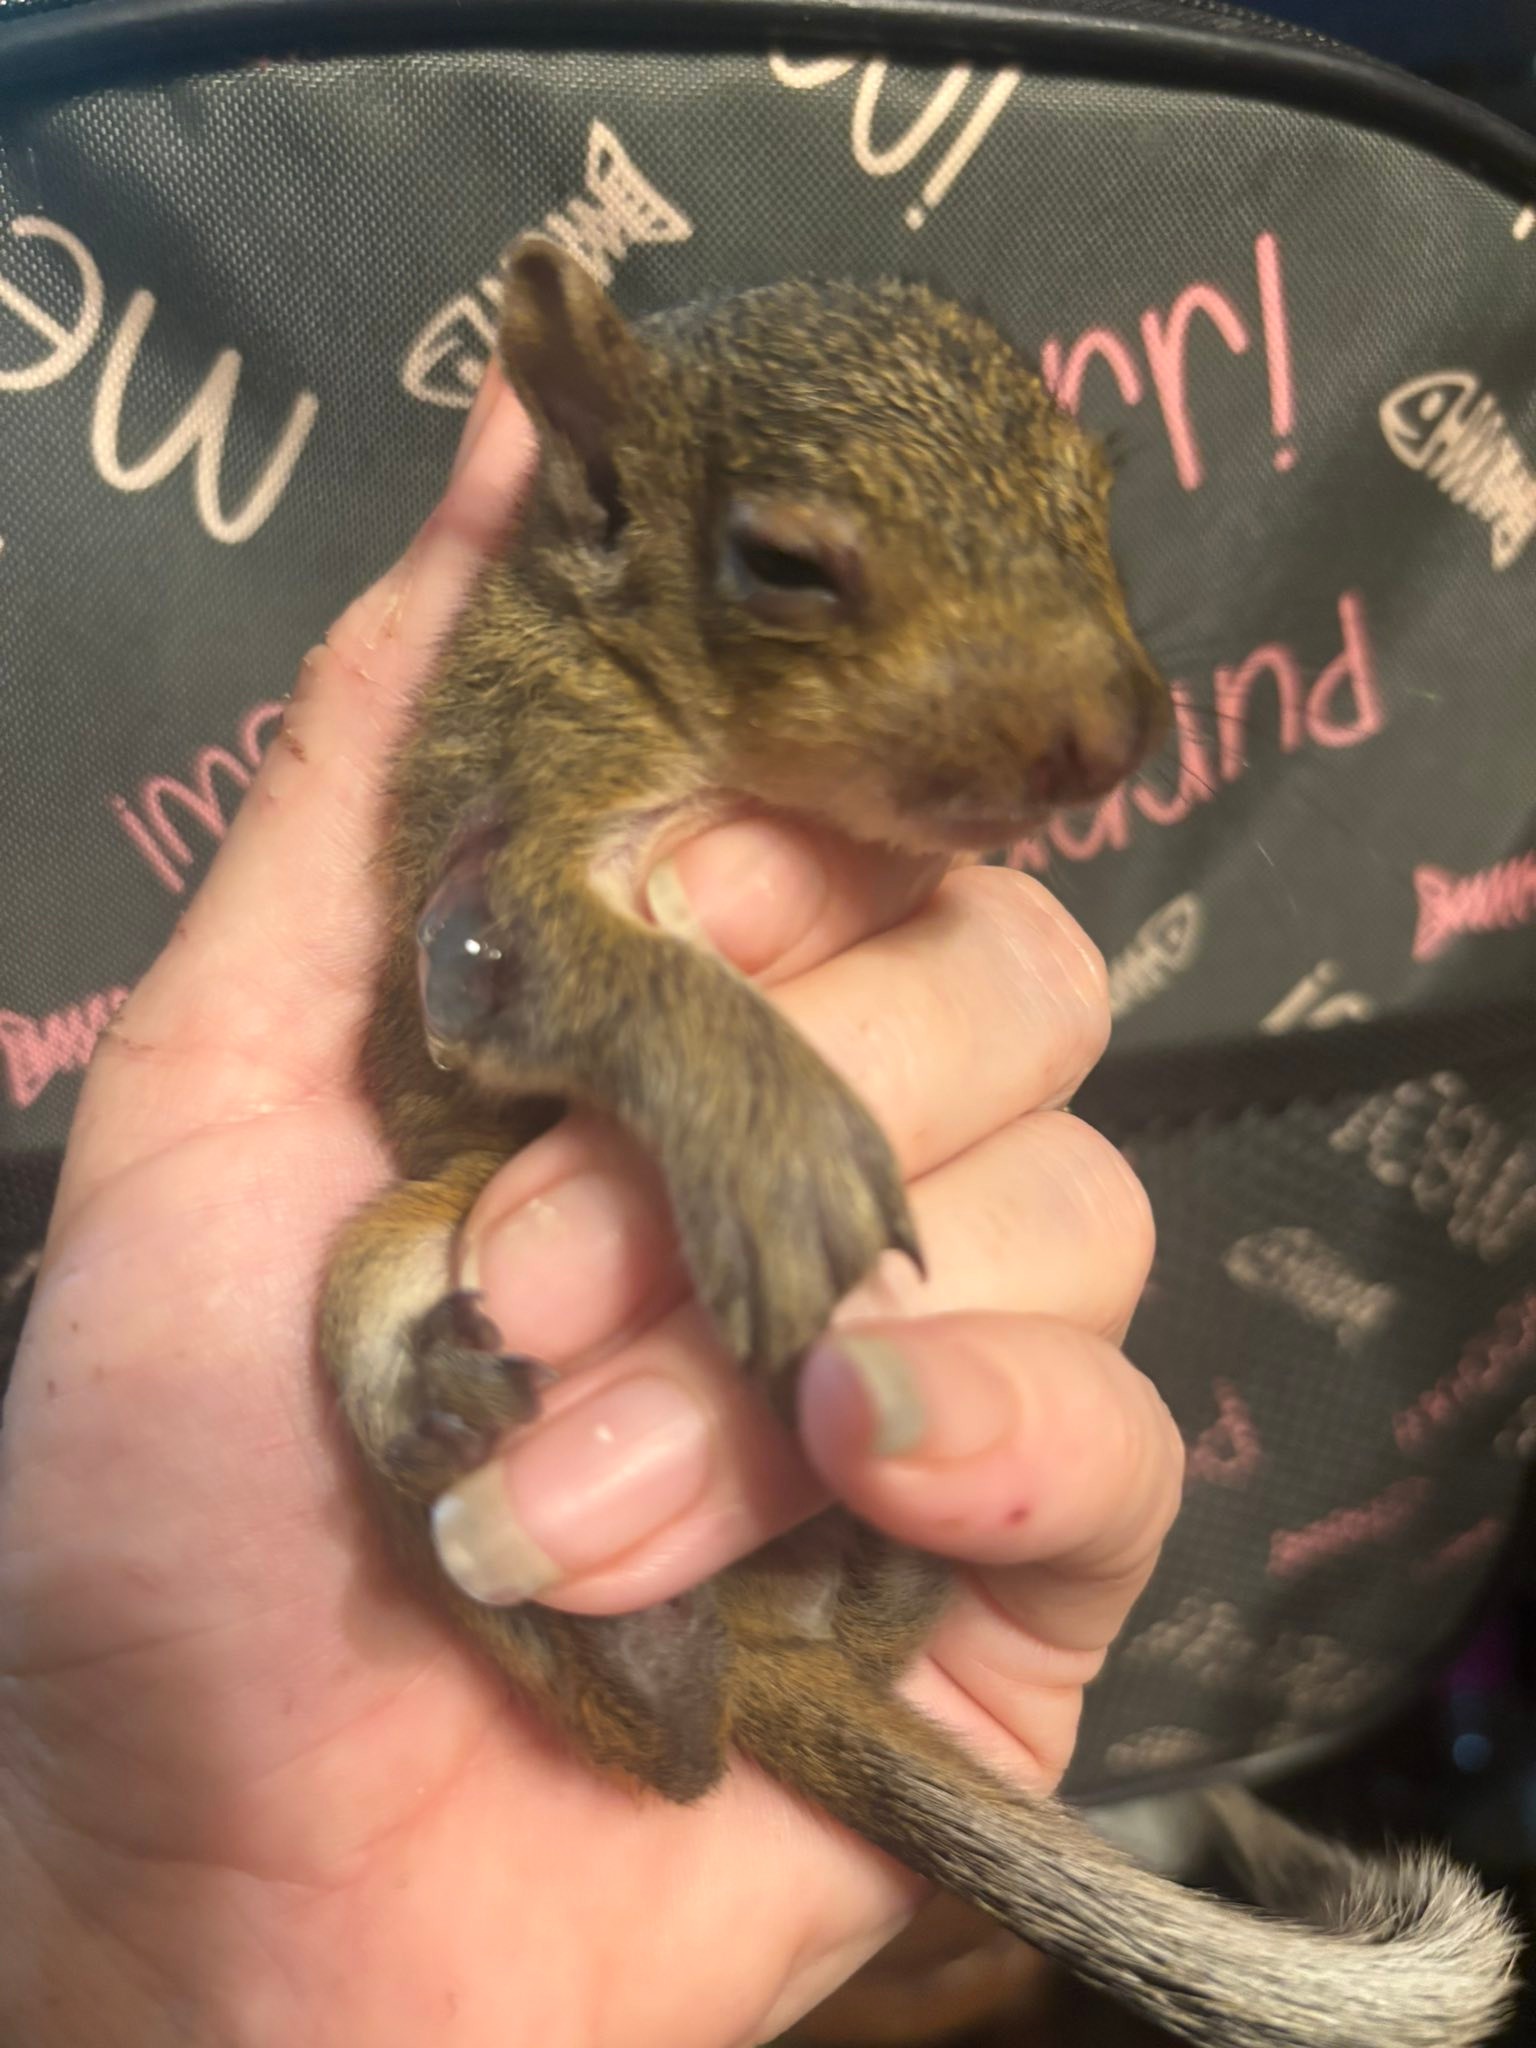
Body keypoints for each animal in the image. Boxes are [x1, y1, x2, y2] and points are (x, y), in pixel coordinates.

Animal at [320, 239, 1518, 2048]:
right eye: (782, 563)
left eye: (1097, 489)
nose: (1108, 741)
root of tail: (768, 1657)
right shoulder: (489, 886)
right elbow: (599, 969)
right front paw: (780, 1149)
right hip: (382, 1283)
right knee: (669, 1755)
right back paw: (568, 1563)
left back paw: (863, 1543)